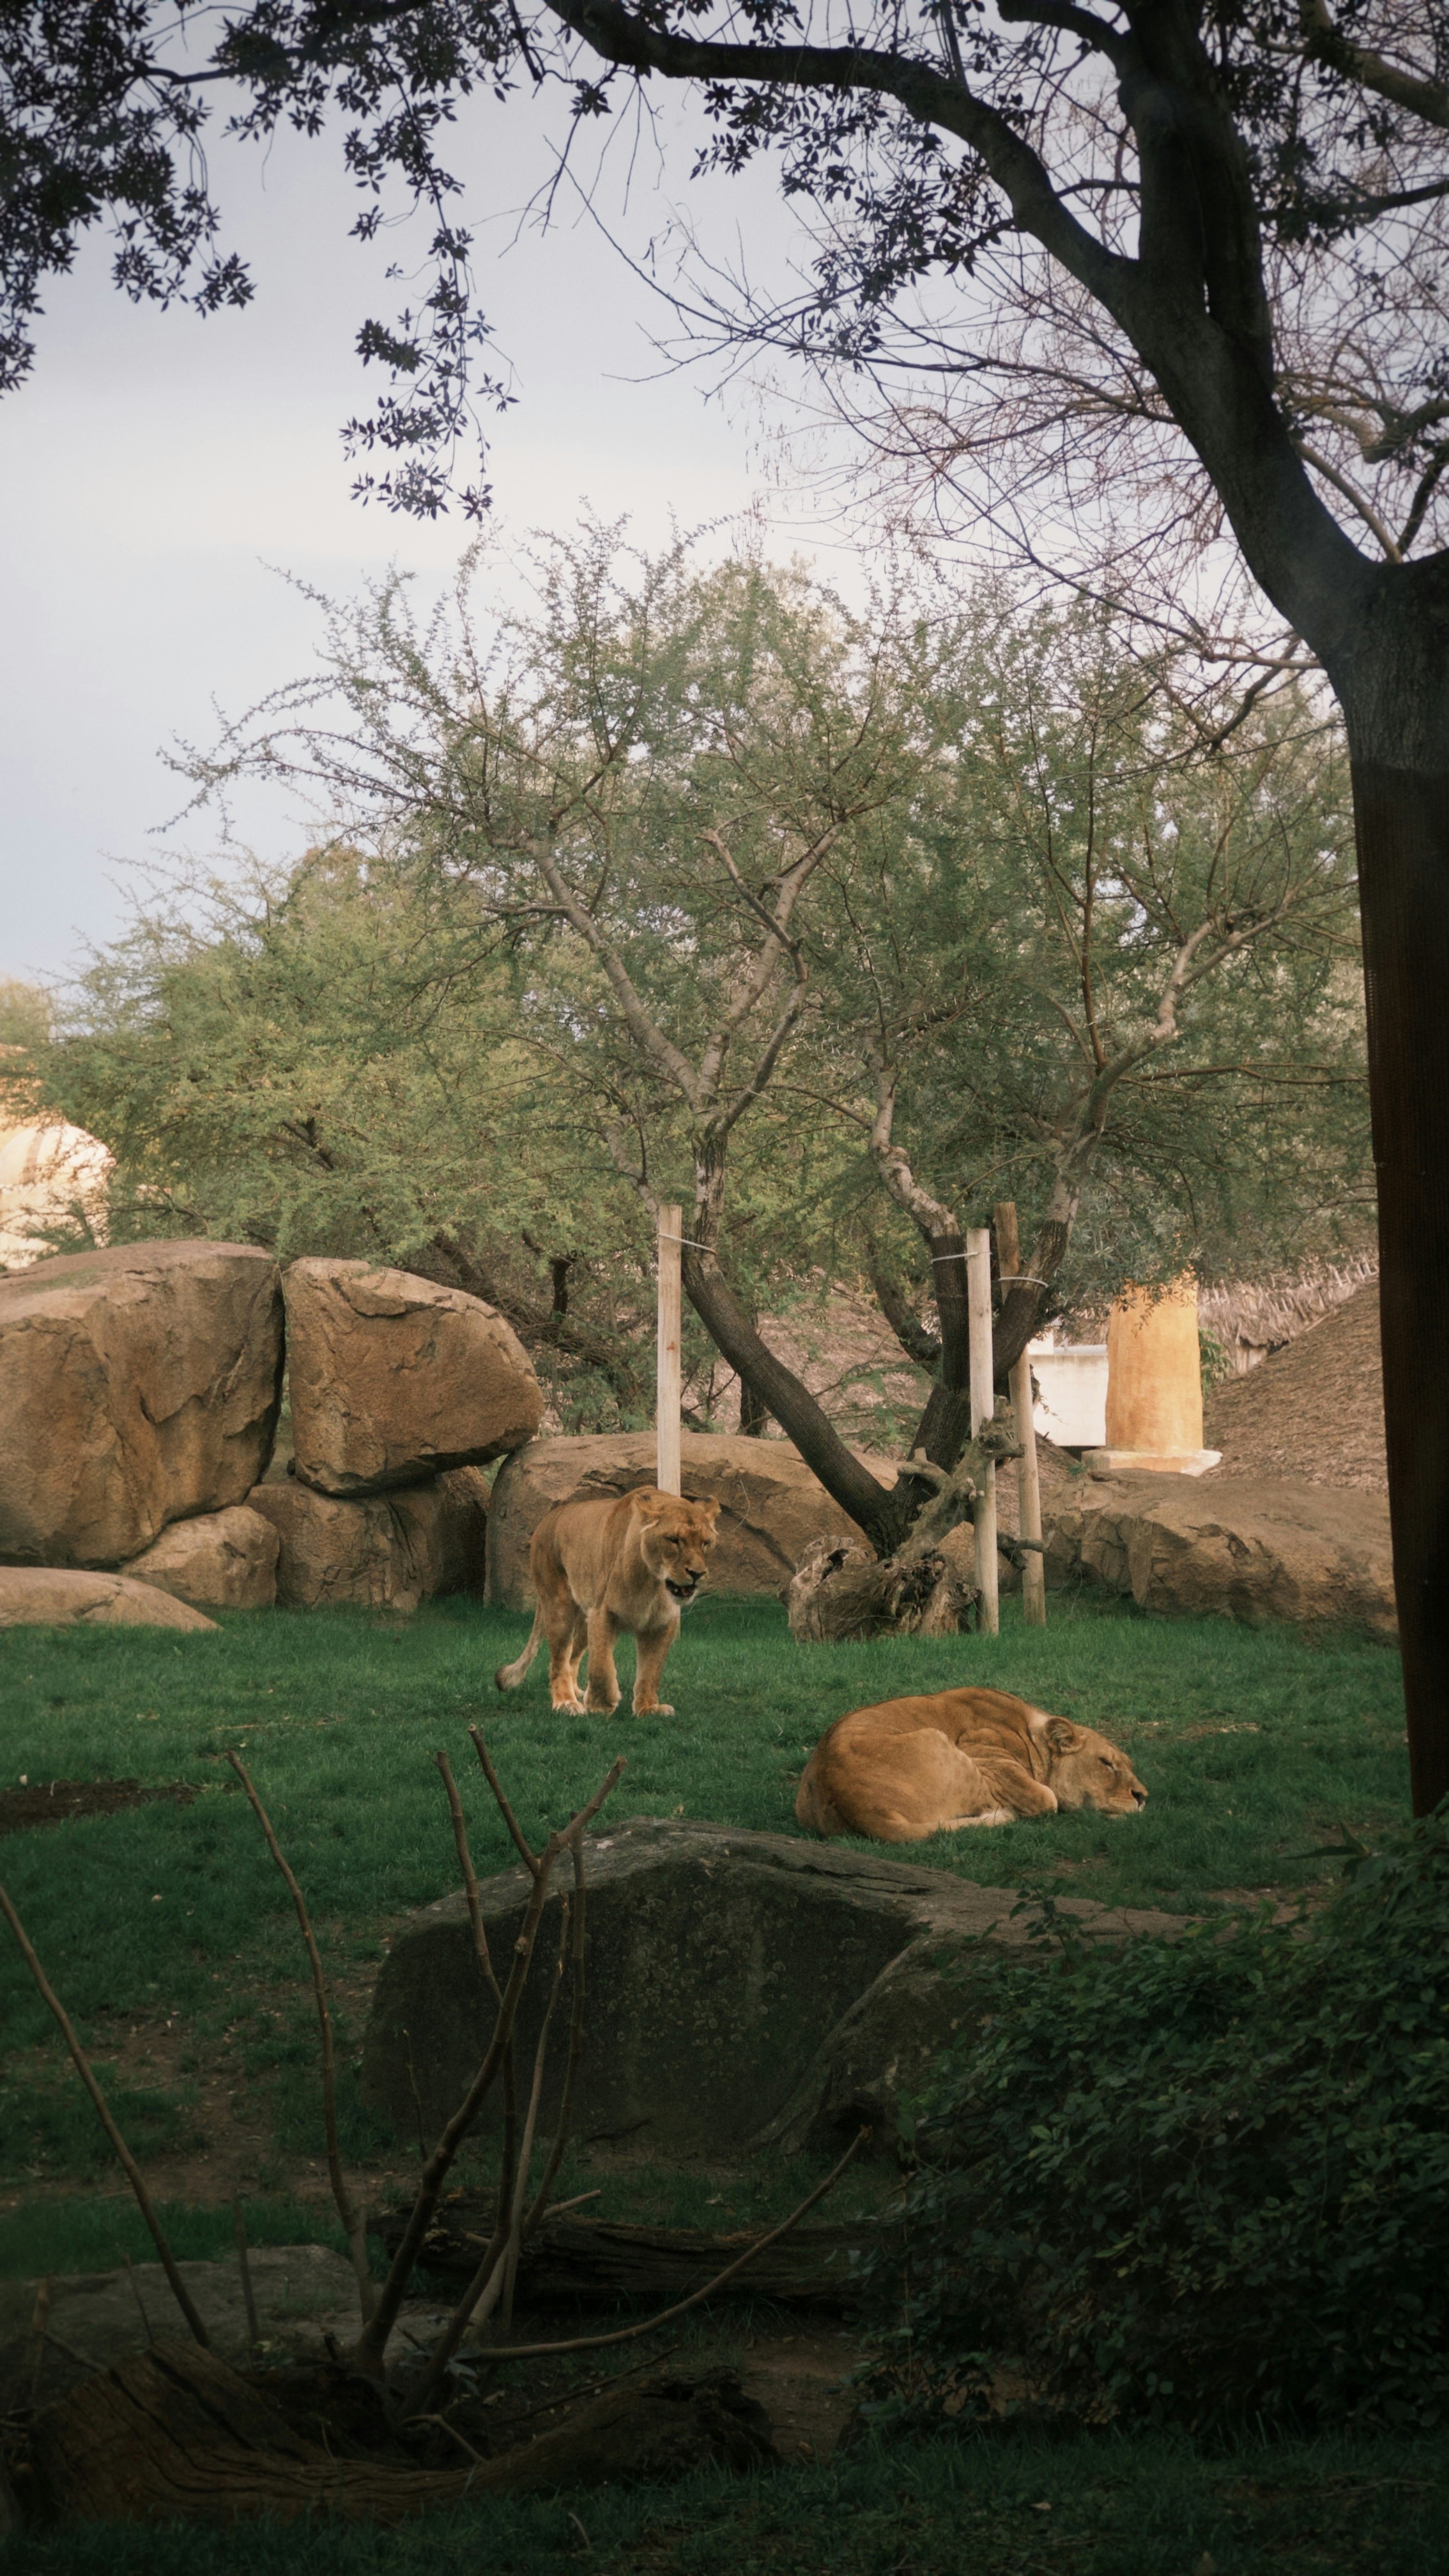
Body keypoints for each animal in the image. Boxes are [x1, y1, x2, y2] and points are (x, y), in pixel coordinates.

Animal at [494, 1486, 721, 1717]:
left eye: (706, 1543)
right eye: (674, 1540)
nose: (697, 1574)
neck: (652, 1582)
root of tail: (546, 1520)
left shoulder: (661, 1623)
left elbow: (651, 1670)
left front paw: (647, 1708)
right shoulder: (603, 1613)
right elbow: (602, 1665)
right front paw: (600, 1706)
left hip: (583, 1621)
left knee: (572, 1658)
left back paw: (577, 1692)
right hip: (559, 1606)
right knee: (559, 1662)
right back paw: (566, 1702)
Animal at [795, 1685, 1147, 1843]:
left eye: (1130, 1765)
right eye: (1106, 1764)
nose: (1143, 1797)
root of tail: (858, 1807)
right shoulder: (982, 1752)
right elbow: (1046, 1797)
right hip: (940, 1741)